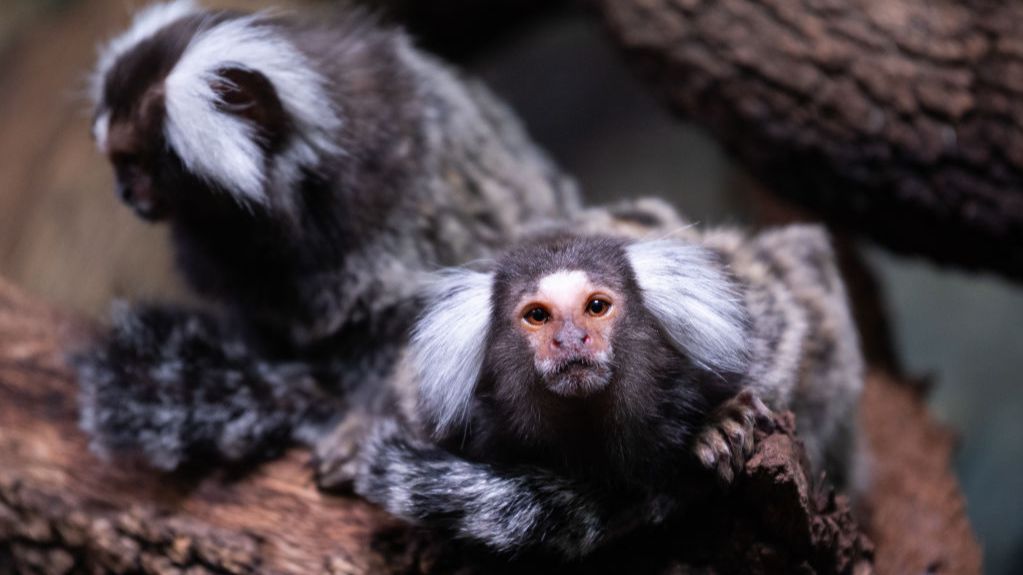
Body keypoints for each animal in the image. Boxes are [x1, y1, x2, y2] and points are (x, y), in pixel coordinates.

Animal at [313, 222, 865, 559]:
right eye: (537, 316)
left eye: (596, 307)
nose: (571, 341)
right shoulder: (434, 409)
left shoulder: (761, 345)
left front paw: (720, 426)